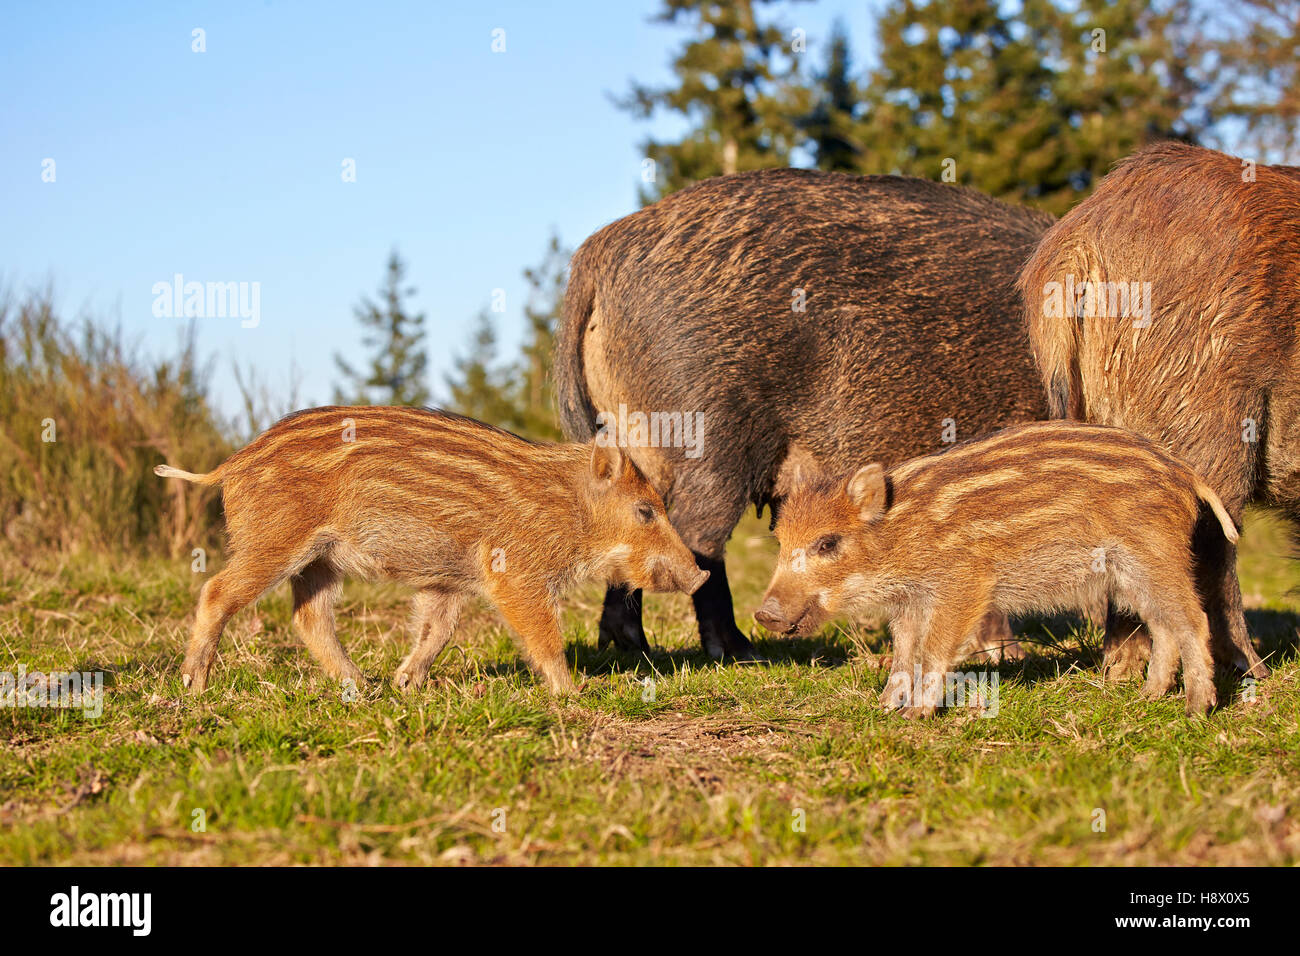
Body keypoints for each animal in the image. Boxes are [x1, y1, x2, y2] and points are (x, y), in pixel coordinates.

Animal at [154, 405, 708, 694]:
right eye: (645, 511)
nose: (700, 575)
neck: (570, 508)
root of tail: (230, 464)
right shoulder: (515, 572)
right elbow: (544, 635)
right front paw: (573, 693)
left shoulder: (446, 580)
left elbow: (437, 629)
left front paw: (407, 684)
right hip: (274, 543)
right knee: (216, 591)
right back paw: (194, 684)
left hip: (319, 562)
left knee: (310, 618)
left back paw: (364, 687)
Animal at [556, 167, 1052, 662]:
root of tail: (600, 251)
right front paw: (1008, 653)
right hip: (709, 429)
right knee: (697, 538)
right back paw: (738, 652)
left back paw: (630, 648)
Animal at [755, 421, 1240, 717]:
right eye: (781, 543)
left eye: (827, 543)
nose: (763, 613)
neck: (901, 534)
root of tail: (1186, 475)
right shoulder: (911, 602)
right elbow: (904, 650)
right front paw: (884, 706)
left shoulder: (963, 583)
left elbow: (932, 650)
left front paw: (916, 714)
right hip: (1130, 576)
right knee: (1162, 625)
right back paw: (1147, 697)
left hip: (1156, 557)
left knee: (1192, 620)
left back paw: (1197, 708)